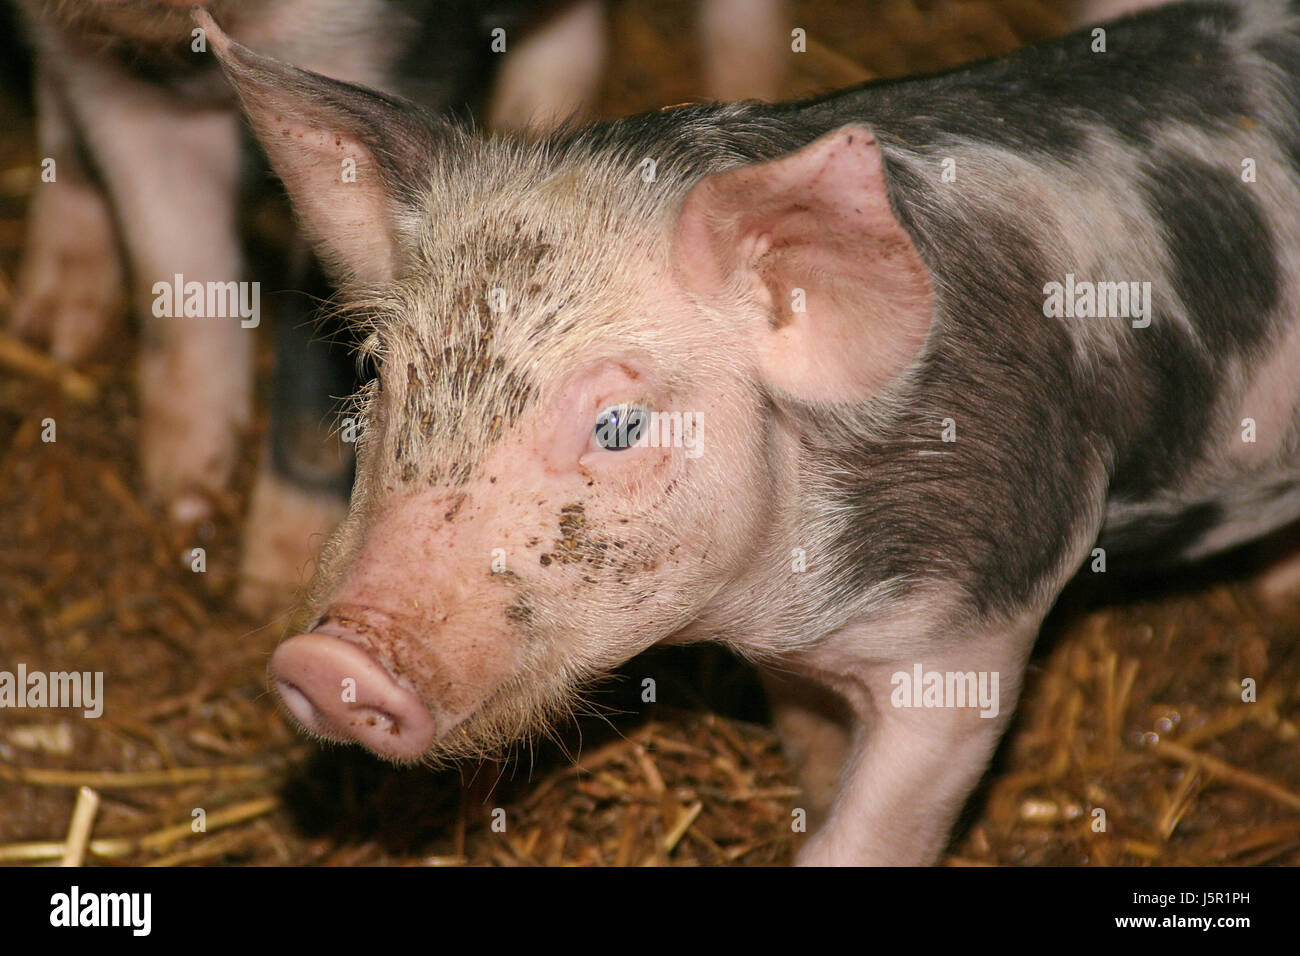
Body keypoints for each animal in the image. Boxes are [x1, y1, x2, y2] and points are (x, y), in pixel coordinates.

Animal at [200, 0, 1300, 866]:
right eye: (381, 377)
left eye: (619, 423)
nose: (326, 662)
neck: (785, 601)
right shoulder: (798, 659)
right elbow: (814, 749)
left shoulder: (988, 611)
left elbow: (876, 824)